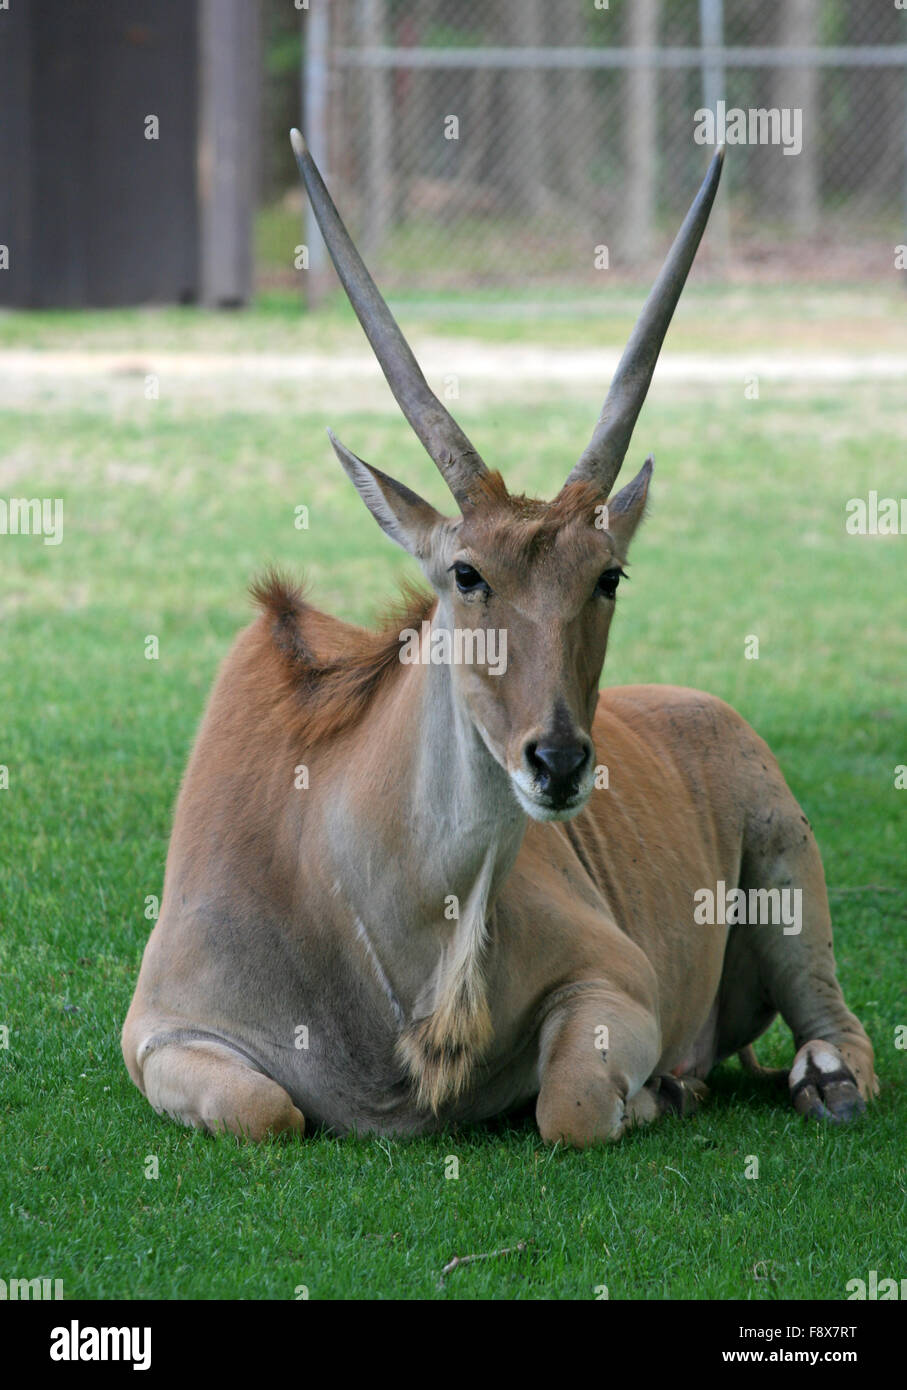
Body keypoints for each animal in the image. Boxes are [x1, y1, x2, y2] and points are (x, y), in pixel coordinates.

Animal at [121, 133, 878, 1145]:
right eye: (466, 573)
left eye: (607, 575)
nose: (557, 763)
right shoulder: (162, 1034)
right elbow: (266, 1111)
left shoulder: (614, 979)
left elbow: (569, 1104)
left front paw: (657, 1091)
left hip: (787, 867)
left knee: (837, 1028)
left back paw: (817, 1079)